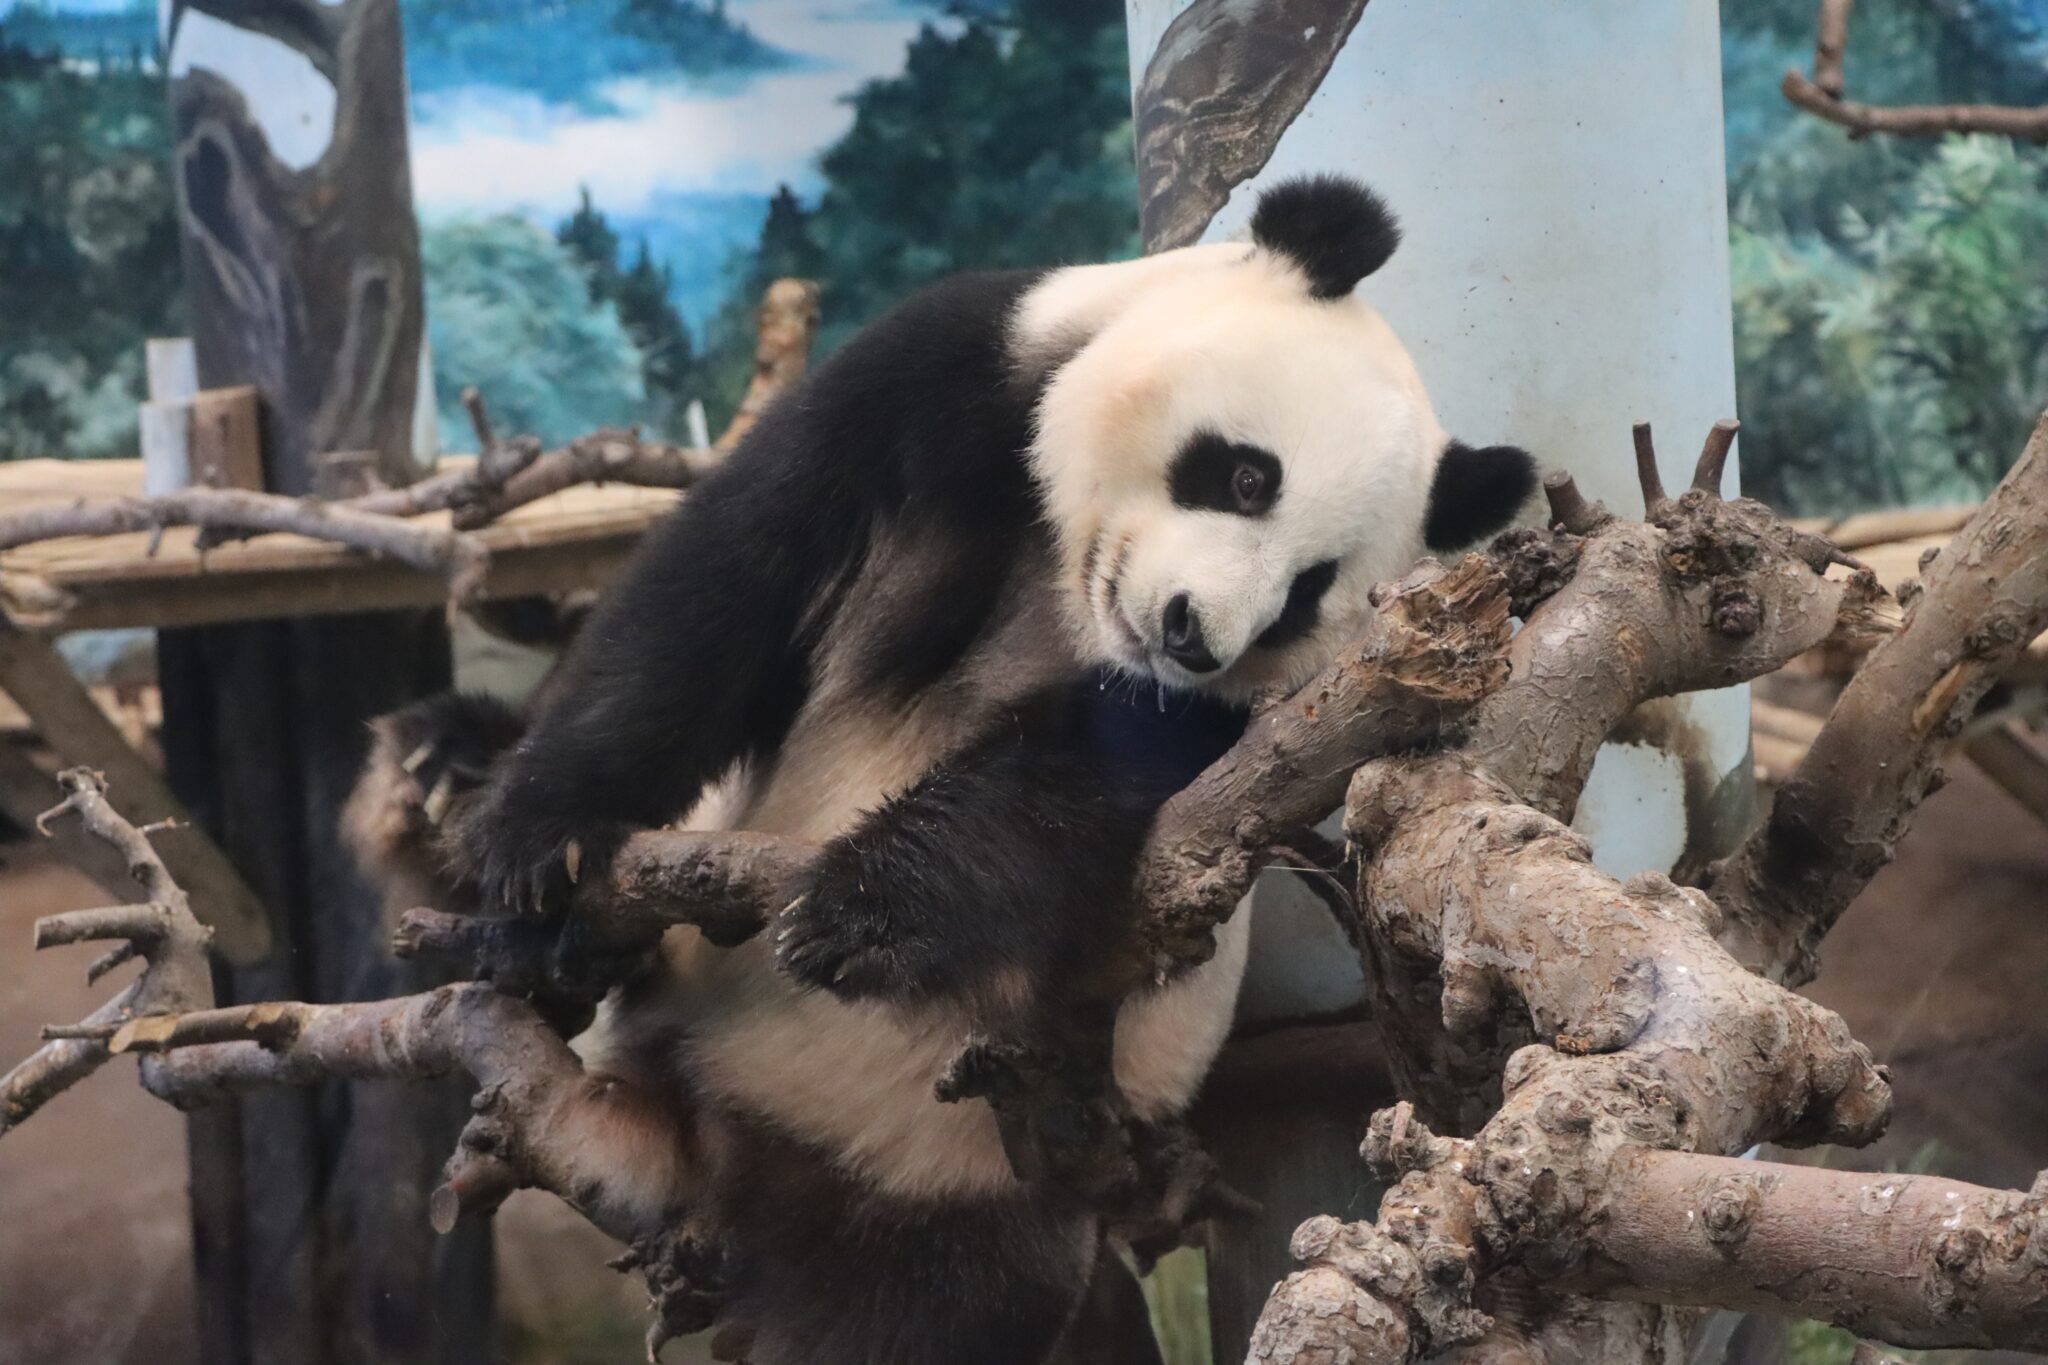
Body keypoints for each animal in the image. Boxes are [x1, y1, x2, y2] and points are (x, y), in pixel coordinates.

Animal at [357, 174, 1534, 1365]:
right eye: (1247, 476)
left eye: (1307, 590)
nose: (1193, 635)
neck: (1070, 583)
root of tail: (715, 1149)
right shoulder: (949, 371)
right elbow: (720, 586)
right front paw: (536, 847)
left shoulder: (1237, 719)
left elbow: (1079, 778)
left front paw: (863, 910)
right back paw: (479, 823)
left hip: (962, 1191)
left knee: (929, 1310)